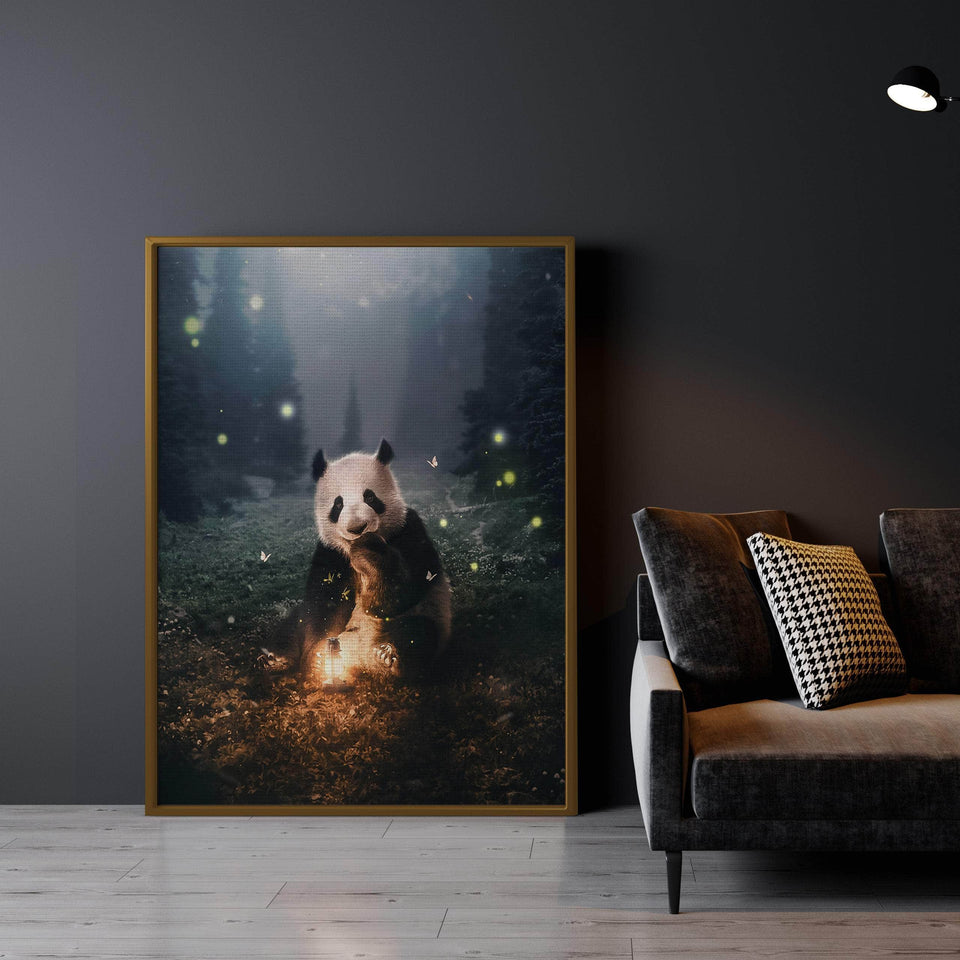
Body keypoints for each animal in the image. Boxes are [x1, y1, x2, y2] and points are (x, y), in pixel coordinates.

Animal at [286, 438, 451, 682]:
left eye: (370, 497)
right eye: (338, 504)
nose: (357, 528)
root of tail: (359, 660)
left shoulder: (408, 529)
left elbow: (399, 593)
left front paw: (369, 556)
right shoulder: (330, 552)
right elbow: (323, 603)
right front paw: (316, 659)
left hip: (426, 618)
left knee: (419, 632)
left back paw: (388, 657)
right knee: (291, 621)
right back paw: (277, 656)